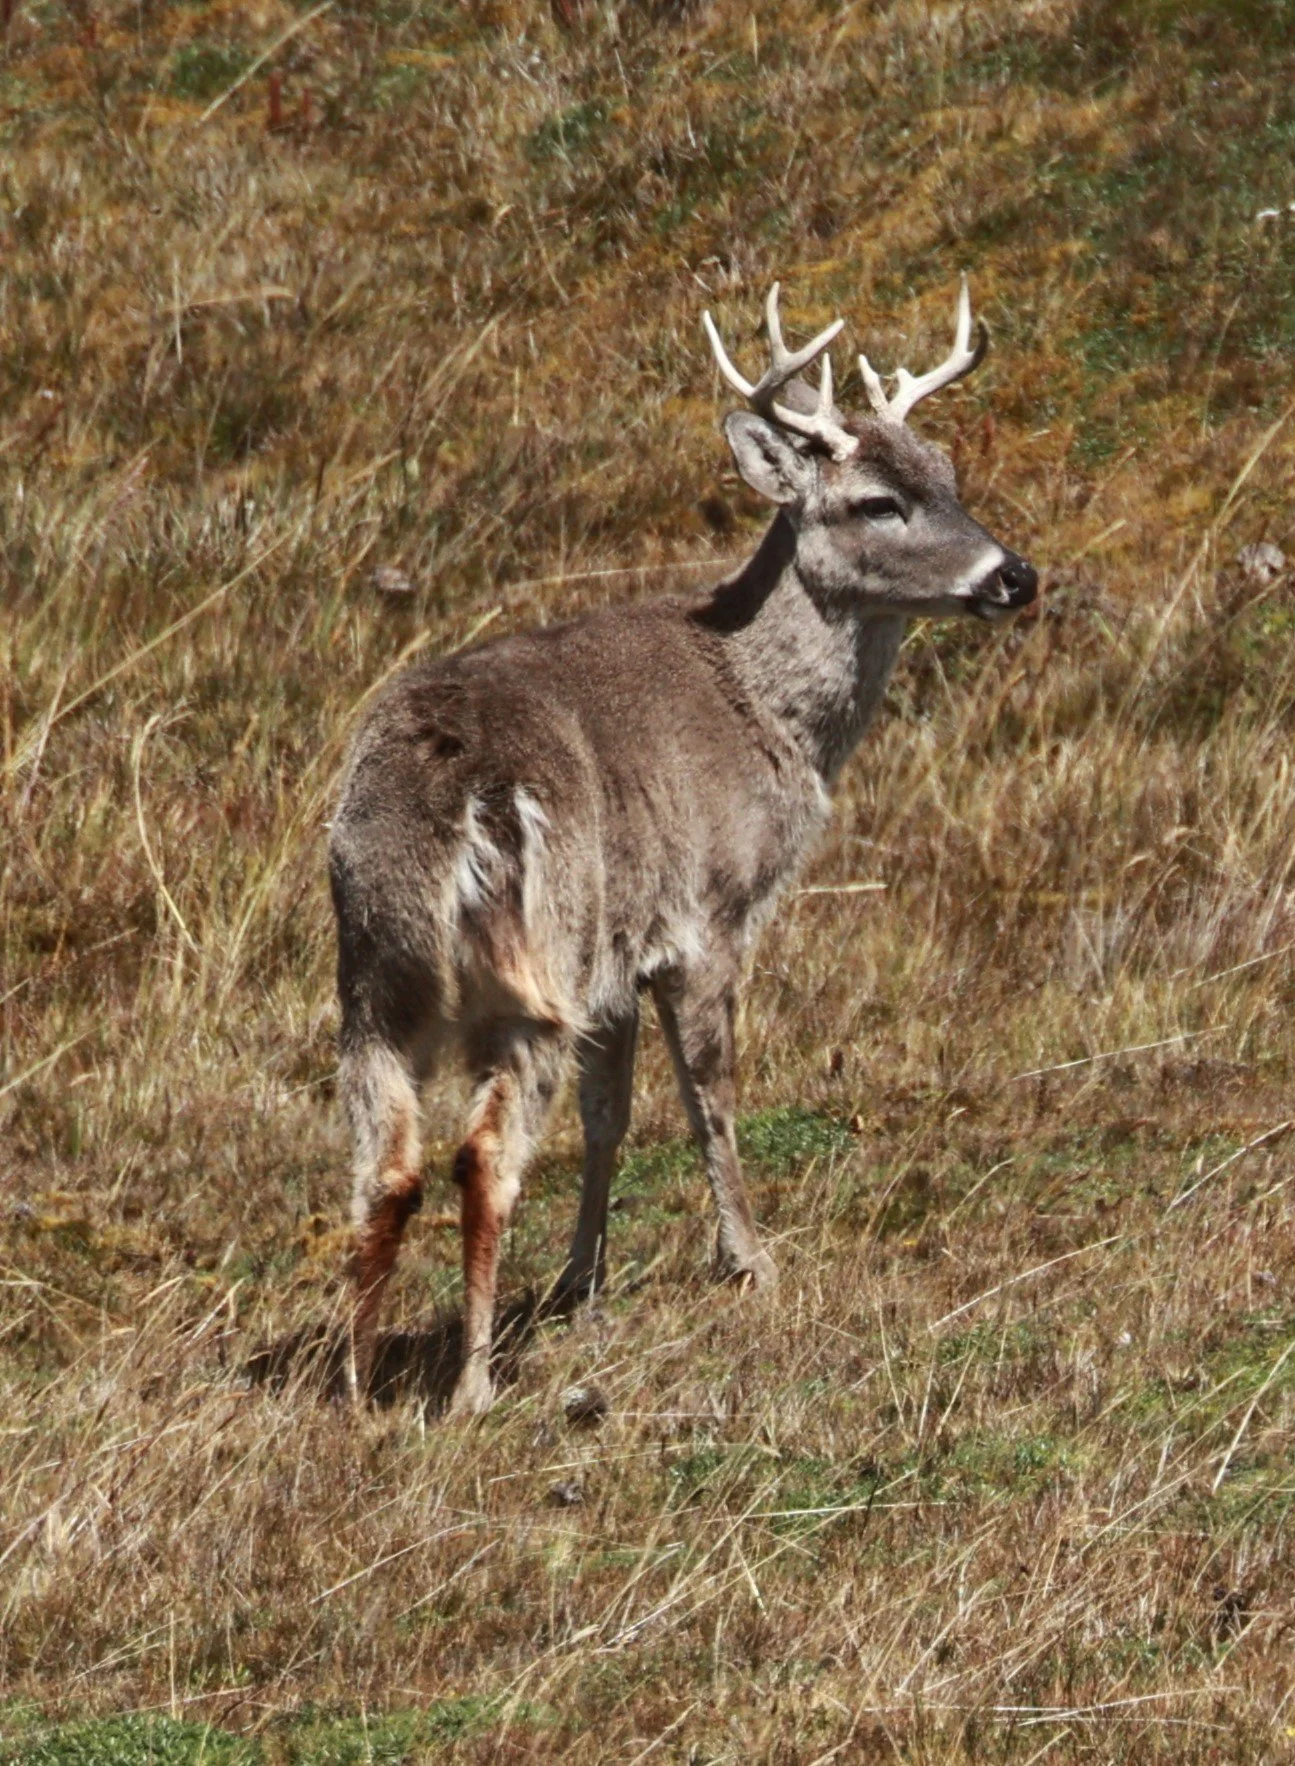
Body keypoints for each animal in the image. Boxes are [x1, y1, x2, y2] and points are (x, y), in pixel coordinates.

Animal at [329, 280, 1037, 1415]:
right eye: (874, 502)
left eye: (947, 475)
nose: (1015, 575)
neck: (764, 710)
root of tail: (456, 806)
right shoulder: (706, 917)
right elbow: (711, 1098)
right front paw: (753, 1261)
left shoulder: (616, 962)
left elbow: (610, 1114)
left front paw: (581, 1285)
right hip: (538, 963)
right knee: (479, 1158)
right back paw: (474, 1385)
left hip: (375, 976)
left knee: (385, 1168)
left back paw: (356, 1381)